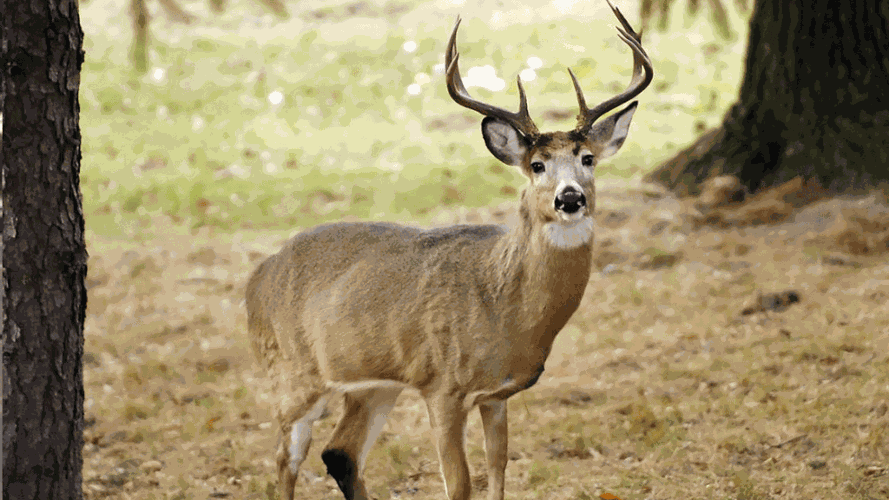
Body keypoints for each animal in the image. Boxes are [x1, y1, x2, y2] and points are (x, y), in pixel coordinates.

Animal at [246, 2, 652, 499]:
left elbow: (498, 469)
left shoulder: (496, 395)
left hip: (373, 385)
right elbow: (459, 485)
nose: (570, 198)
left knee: (340, 453)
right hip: (291, 372)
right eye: (537, 165)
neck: (501, 301)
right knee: (284, 459)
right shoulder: (441, 384)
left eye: (588, 159)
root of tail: (257, 277)